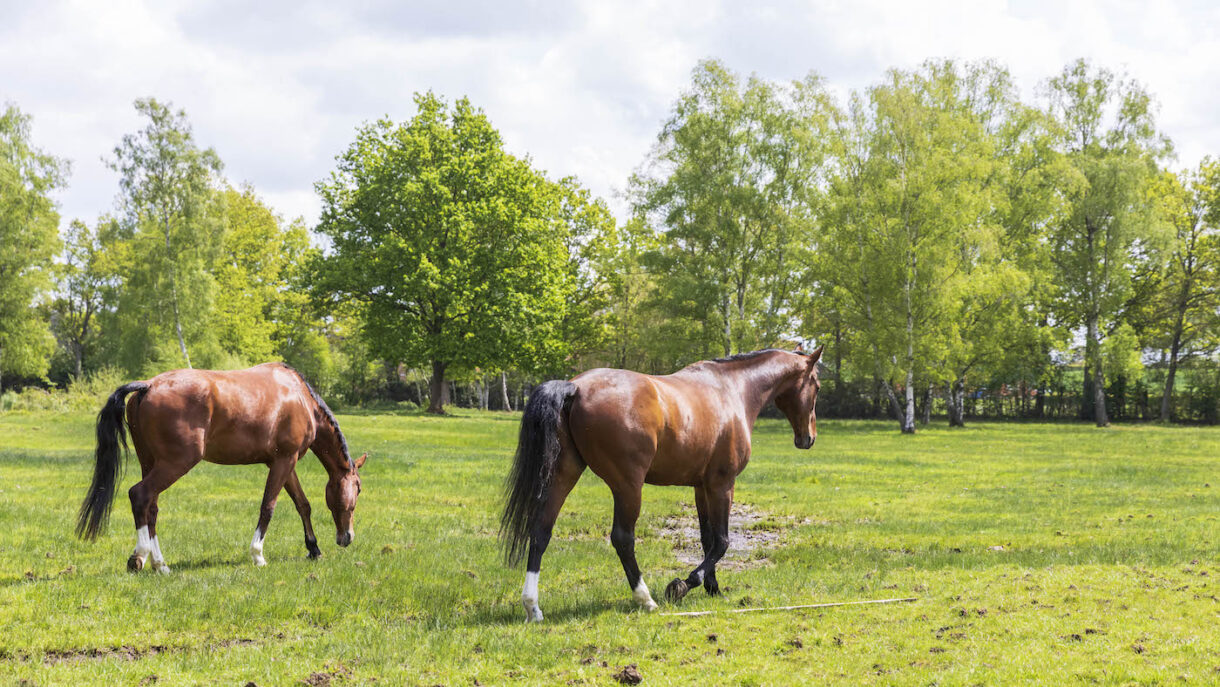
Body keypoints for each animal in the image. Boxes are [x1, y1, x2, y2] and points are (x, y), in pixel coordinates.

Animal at [76, 362, 366, 572]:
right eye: (358, 489)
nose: (347, 537)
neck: (300, 398)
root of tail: (148, 386)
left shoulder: (285, 462)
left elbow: (302, 505)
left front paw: (314, 549)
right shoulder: (284, 461)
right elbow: (268, 506)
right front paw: (257, 555)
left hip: (150, 462)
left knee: (151, 507)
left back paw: (160, 564)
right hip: (175, 463)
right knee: (140, 495)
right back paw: (139, 556)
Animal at [500, 346, 823, 622]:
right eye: (817, 386)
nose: (808, 438)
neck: (733, 389)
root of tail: (575, 388)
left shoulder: (701, 487)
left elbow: (707, 539)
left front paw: (713, 588)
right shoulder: (723, 484)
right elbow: (722, 541)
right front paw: (685, 584)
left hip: (563, 475)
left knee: (540, 531)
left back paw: (533, 607)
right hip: (628, 486)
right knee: (623, 539)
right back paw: (645, 599)